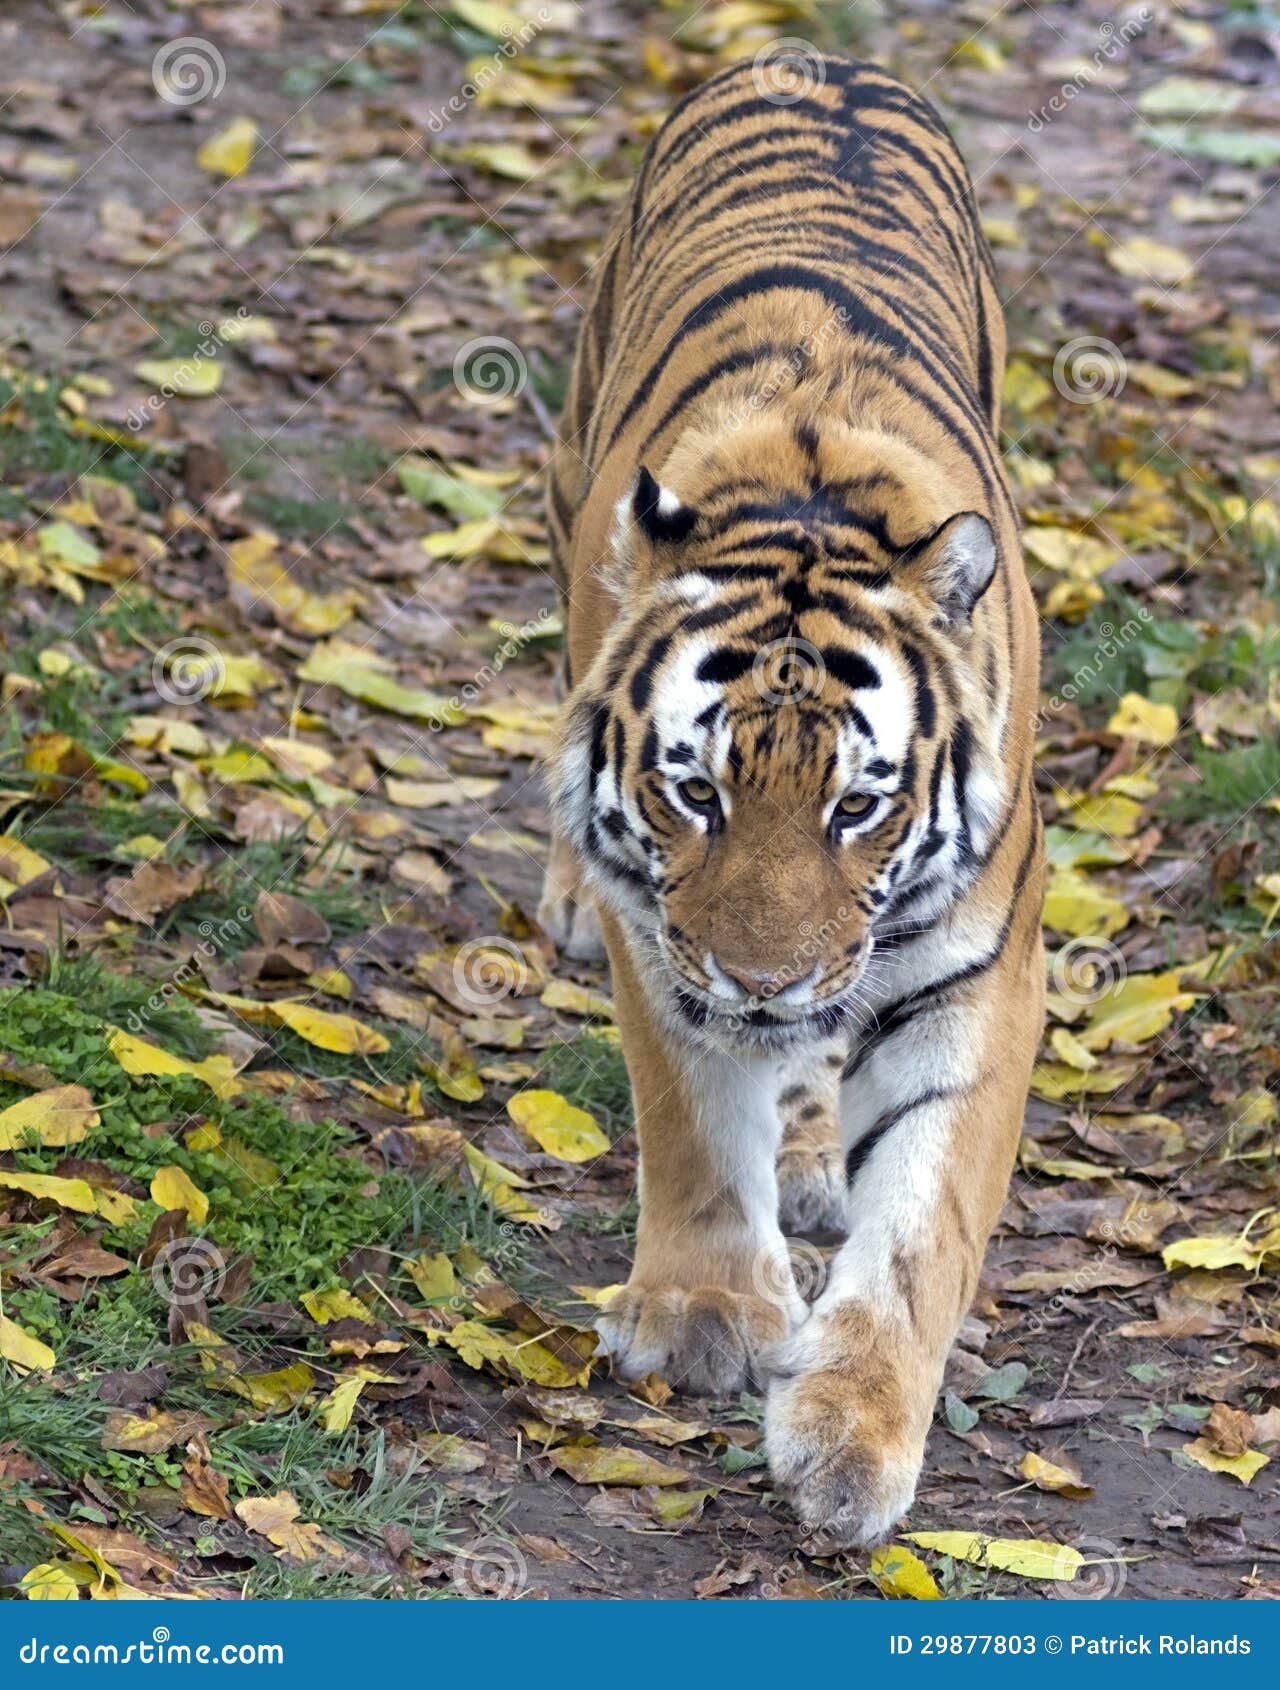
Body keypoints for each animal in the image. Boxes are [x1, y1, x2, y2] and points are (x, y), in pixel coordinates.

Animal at [539, 53, 1045, 1550]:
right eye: (694, 791)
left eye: (858, 806)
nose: (763, 980)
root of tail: (823, 60)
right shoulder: (664, 931)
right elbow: (695, 1122)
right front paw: (704, 1315)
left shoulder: (979, 973)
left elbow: (924, 1227)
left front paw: (852, 1438)